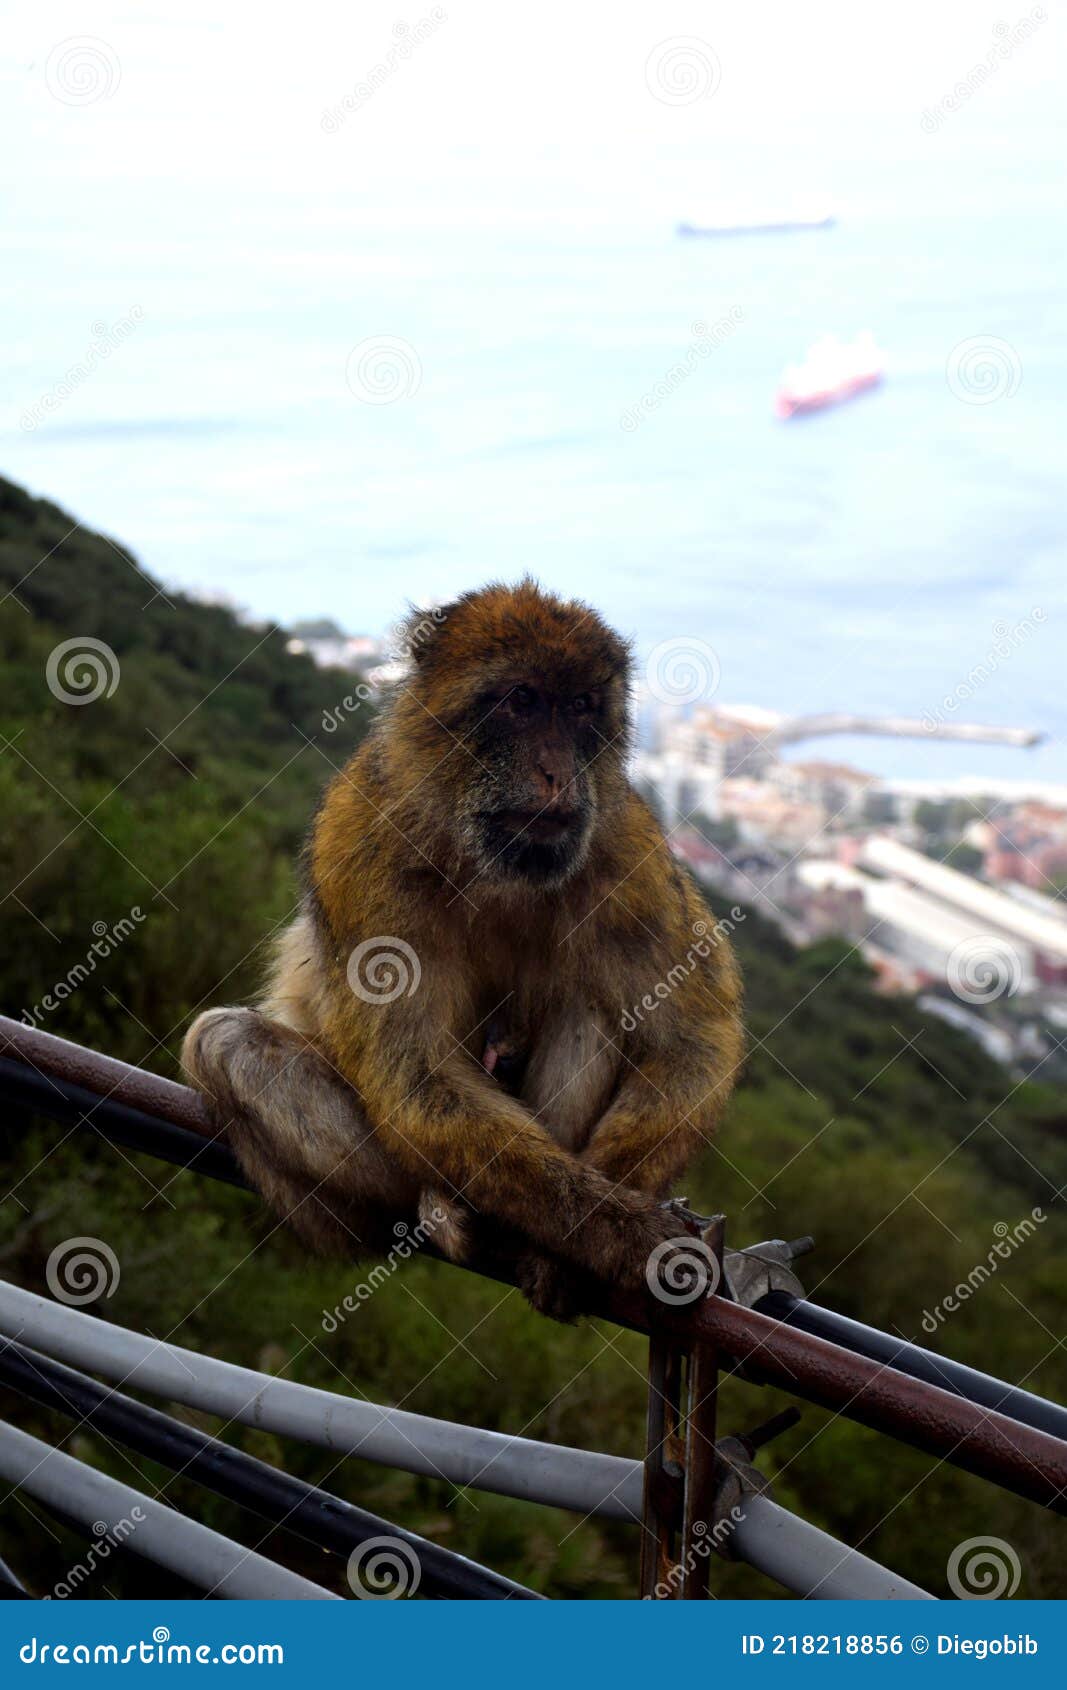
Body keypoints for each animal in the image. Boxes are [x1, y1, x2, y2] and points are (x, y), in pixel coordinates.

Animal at [182, 579, 743, 1319]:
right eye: (523, 701)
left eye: (580, 709)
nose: (558, 771)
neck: (489, 861)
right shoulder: (361, 845)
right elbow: (413, 1072)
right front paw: (620, 1232)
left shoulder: (628, 854)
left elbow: (691, 1040)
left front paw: (602, 1231)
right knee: (222, 1044)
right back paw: (440, 1209)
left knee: (590, 1005)